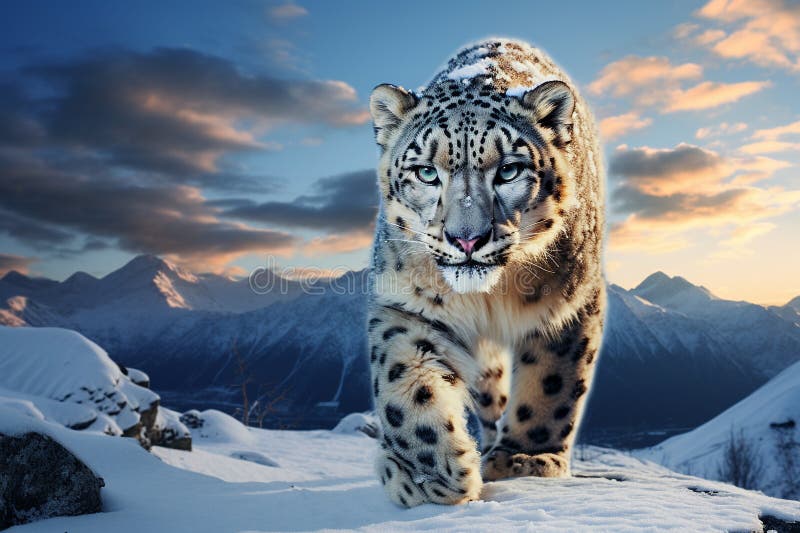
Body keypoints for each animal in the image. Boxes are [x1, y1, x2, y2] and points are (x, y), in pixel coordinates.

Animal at [366, 38, 605, 507]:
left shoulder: (570, 306)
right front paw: (428, 475)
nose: (467, 239)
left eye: (508, 169)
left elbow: (551, 382)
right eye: (426, 172)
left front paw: (525, 460)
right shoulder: (408, 307)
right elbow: (405, 382)